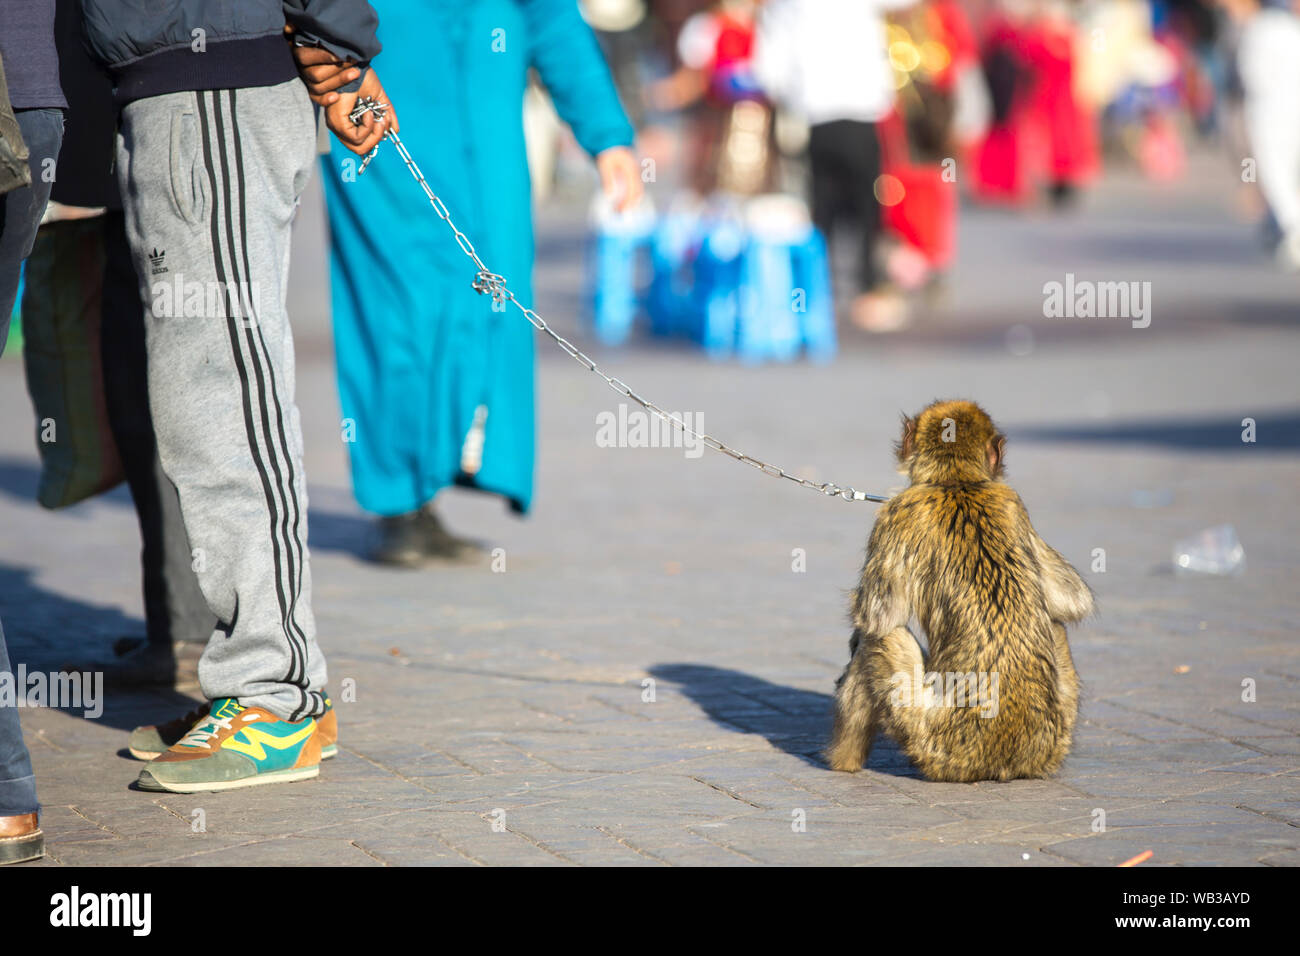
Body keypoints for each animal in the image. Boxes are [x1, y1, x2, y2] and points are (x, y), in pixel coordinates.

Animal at [826, 399, 1093, 783]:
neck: (956, 480)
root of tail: (1002, 760)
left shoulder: (894, 512)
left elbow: (876, 617)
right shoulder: (1013, 502)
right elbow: (1070, 599)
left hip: (930, 736)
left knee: (883, 636)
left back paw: (842, 762)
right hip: (1052, 737)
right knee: (1057, 625)